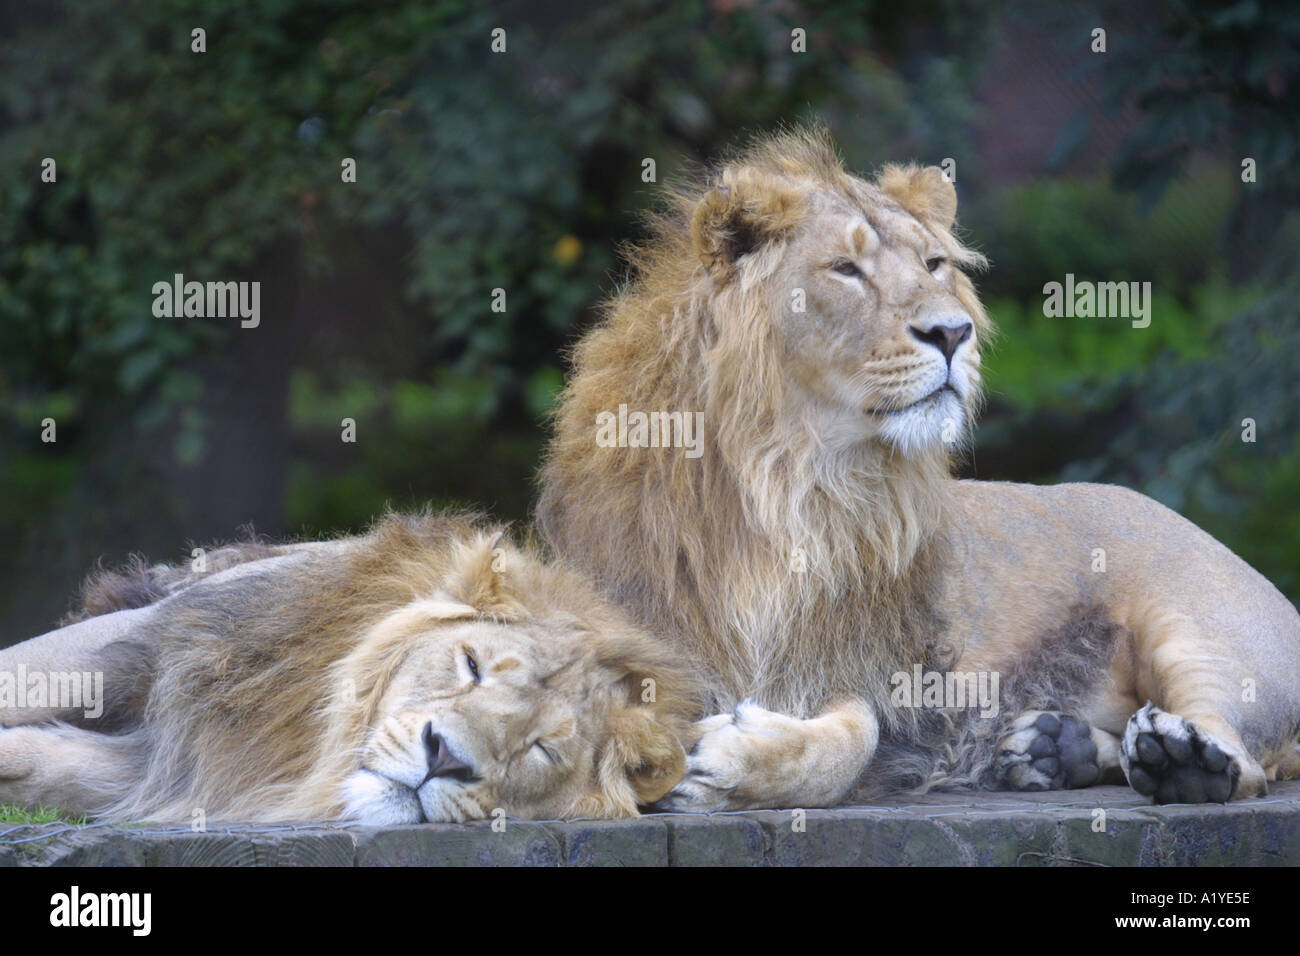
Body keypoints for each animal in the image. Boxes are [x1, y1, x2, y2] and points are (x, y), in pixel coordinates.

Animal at [0, 512, 696, 824]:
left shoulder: (173, 769)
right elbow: (19, 680)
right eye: (471, 665)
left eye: (542, 750)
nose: (445, 757)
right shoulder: (146, 641)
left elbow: (47, 768)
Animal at [537, 125, 1300, 810]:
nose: (952, 332)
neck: (793, 479)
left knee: (1241, 759)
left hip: (1204, 633)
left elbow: (856, 740)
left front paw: (726, 762)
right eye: (846, 270)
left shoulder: (873, 681)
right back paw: (1056, 749)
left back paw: (1180, 764)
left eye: (933, 265)